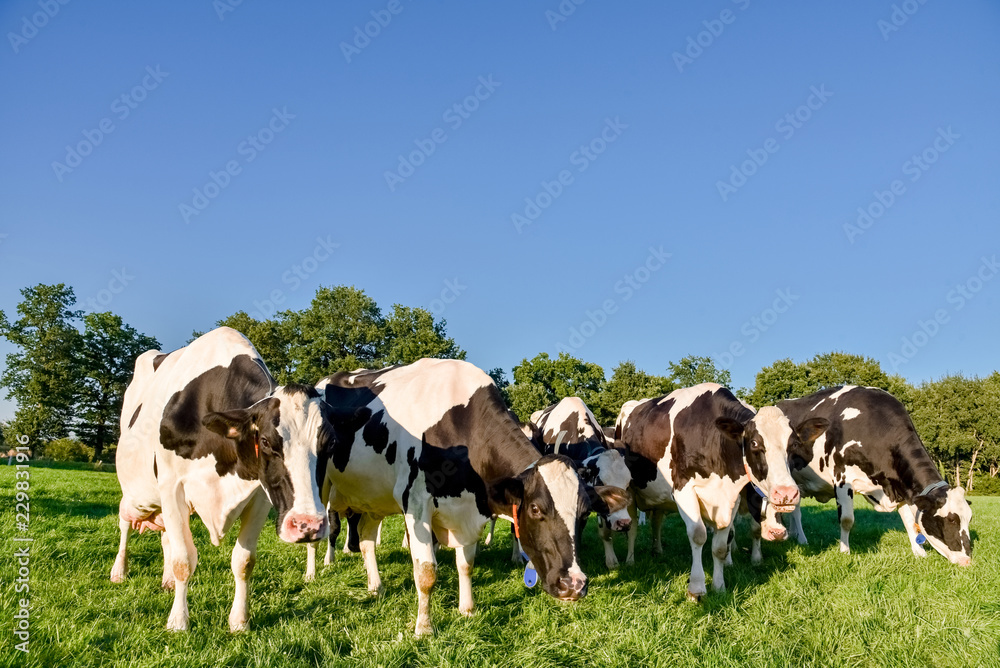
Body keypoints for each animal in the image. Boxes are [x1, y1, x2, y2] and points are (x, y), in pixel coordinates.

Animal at [111, 327, 364, 631]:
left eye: (331, 442)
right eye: (265, 441)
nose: (308, 526)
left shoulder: (261, 496)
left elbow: (243, 560)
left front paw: (239, 621)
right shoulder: (172, 486)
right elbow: (183, 559)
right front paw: (178, 622)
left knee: (165, 536)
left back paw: (167, 580)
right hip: (138, 494)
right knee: (125, 522)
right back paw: (119, 571)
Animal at [315, 358, 621, 637]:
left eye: (584, 513)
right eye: (535, 509)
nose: (574, 584)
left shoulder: (470, 509)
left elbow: (466, 564)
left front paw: (467, 609)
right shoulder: (416, 504)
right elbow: (426, 573)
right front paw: (424, 629)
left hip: (373, 498)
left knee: (366, 539)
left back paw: (375, 586)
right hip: (322, 486)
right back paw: (314, 573)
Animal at [616, 383, 802, 600]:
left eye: (794, 444)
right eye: (754, 443)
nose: (786, 493)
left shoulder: (731, 497)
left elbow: (721, 546)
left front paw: (719, 586)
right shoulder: (683, 489)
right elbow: (698, 535)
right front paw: (696, 589)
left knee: (657, 521)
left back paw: (657, 549)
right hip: (630, 491)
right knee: (633, 526)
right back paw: (630, 560)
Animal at [754, 386, 973, 566]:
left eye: (969, 519)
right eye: (950, 520)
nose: (967, 561)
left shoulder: (898, 485)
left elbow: (910, 522)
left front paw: (919, 552)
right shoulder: (843, 479)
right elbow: (847, 520)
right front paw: (844, 551)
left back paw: (793, 534)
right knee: (796, 512)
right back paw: (801, 538)